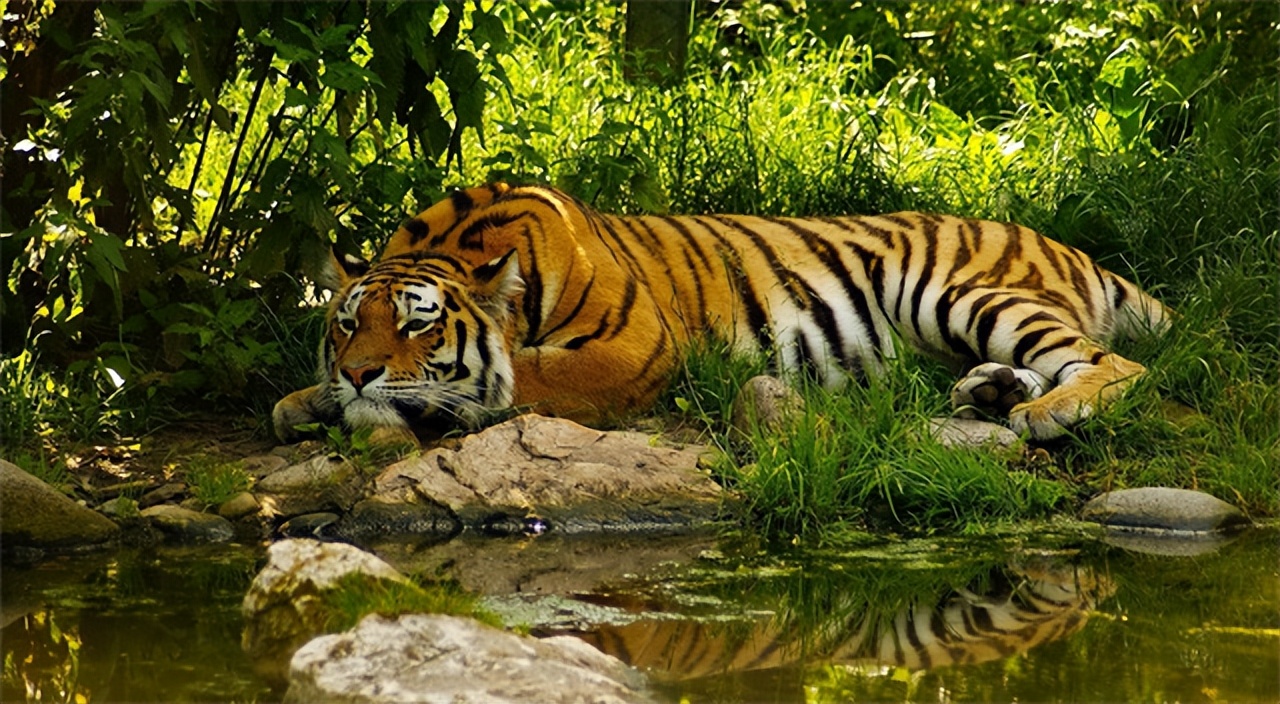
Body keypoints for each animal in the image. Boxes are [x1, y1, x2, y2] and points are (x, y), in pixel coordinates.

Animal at [272, 182, 1170, 443]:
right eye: (348, 322)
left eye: (419, 323)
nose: (359, 374)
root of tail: (1065, 245)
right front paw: (306, 400)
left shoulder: (633, 347)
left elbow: (521, 378)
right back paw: (991, 392)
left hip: (957, 290)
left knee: (1115, 363)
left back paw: (1046, 412)